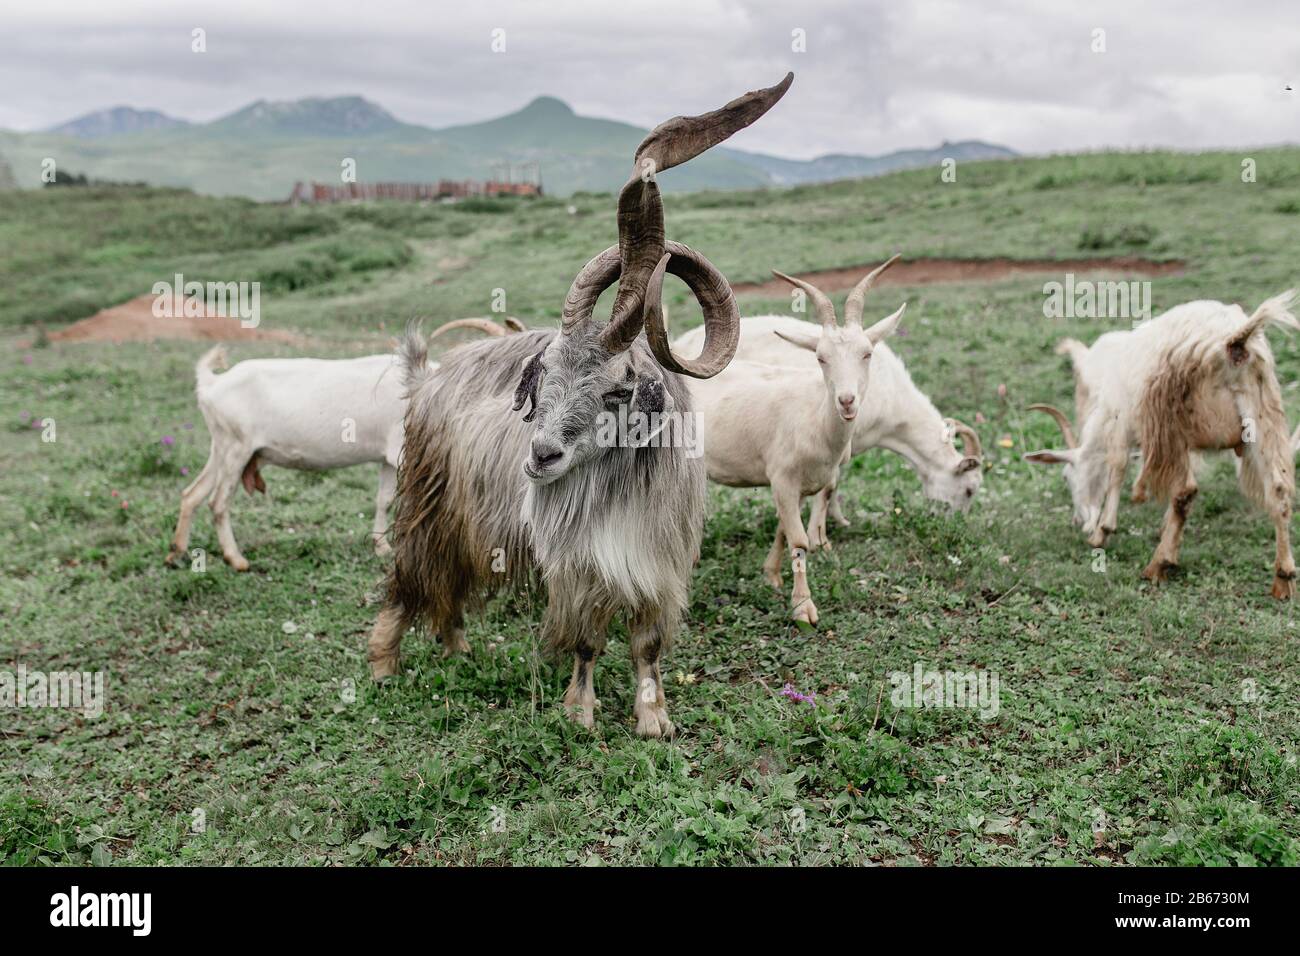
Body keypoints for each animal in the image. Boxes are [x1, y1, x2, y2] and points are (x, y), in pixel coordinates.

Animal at [166, 347, 409, 570]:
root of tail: (213, 383)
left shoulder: (388, 458)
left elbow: (384, 500)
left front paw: (382, 548)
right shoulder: (400, 451)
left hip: (221, 447)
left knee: (192, 494)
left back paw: (175, 553)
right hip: (236, 446)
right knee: (218, 502)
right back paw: (236, 559)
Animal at [366, 73, 793, 737]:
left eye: (618, 389)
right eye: (543, 372)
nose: (540, 457)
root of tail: (429, 377)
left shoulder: (655, 564)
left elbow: (646, 645)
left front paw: (653, 719)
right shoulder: (577, 569)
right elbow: (588, 641)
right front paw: (579, 713)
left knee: (450, 589)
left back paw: (458, 650)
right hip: (431, 508)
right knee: (409, 581)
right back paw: (385, 664)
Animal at [682, 258, 906, 624]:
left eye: (867, 353)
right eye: (820, 357)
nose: (847, 401)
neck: (813, 417)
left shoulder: (799, 486)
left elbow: (782, 529)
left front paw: (771, 575)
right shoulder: (783, 477)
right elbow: (799, 540)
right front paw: (804, 607)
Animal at [1026, 291, 1299, 598]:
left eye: (1066, 477)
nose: (1079, 522)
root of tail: (1233, 342)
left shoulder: (1119, 420)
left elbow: (1117, 469)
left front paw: (1102, 532)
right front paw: (1161, 524)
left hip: (1171, 416)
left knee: (1186, 490)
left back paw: (1159, 564)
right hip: (1261, 413)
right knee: (1278, 490)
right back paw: (1284, 578)